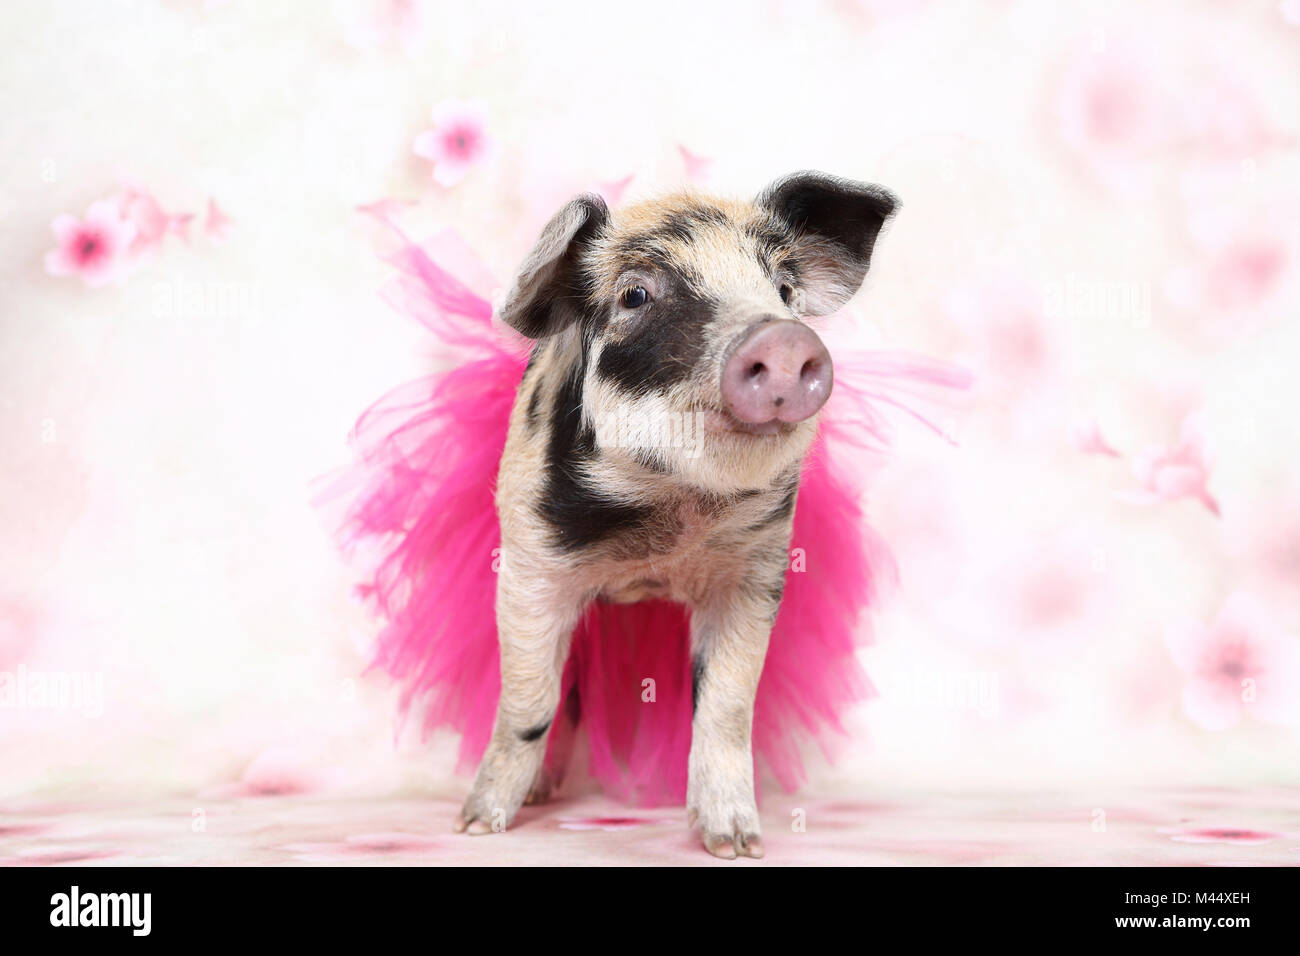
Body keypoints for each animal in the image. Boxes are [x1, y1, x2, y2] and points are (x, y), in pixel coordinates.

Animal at [451, 172, 898, 858]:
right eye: (635, 294)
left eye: (784, 289)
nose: (784, 338)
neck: (664, 517)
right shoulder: (528, 563)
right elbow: (529, 701)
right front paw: (477, 826)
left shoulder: (757, 571)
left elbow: (727, 705)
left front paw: (737, 845)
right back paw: (539, 797)